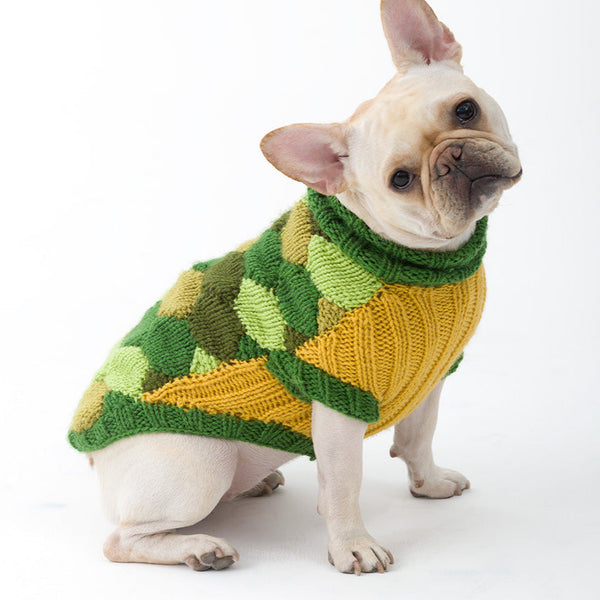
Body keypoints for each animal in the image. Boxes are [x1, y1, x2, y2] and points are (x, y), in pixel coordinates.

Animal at [69, 0, 521, 575]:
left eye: (465, 110)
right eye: (400, 179)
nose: (453, 157)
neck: (409, 253)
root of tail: (91, 454)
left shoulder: (431, 373)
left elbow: (419, 437)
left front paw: (430, 483)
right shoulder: (337, 396)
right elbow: (344, 484)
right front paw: (353, 545)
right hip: (201, 464)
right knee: (121, 540)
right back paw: (199, 548)